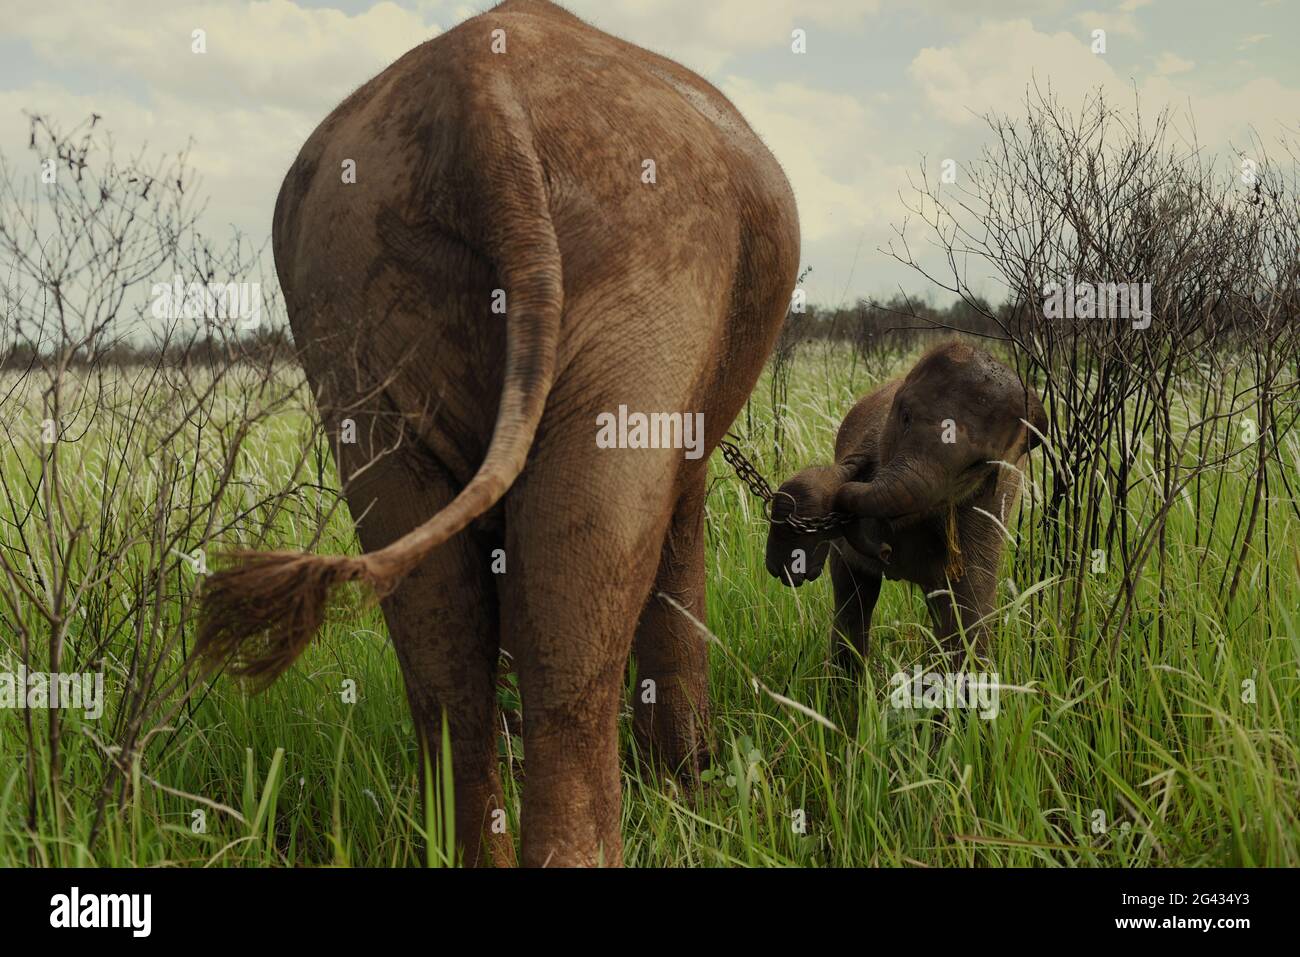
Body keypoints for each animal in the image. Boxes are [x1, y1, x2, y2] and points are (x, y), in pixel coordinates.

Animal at [193, 0, 799, 867]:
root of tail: (483, 96)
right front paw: (690, 790)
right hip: (651, 271)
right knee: (577, 587)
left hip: (349, 281)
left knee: (437, 614)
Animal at [765, 341, 1046, 670]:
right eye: (906, 417)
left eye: (977, 465)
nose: (885, 550)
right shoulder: (867, 440)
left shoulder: (989, 504)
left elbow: (969, 603)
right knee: (855, 598)